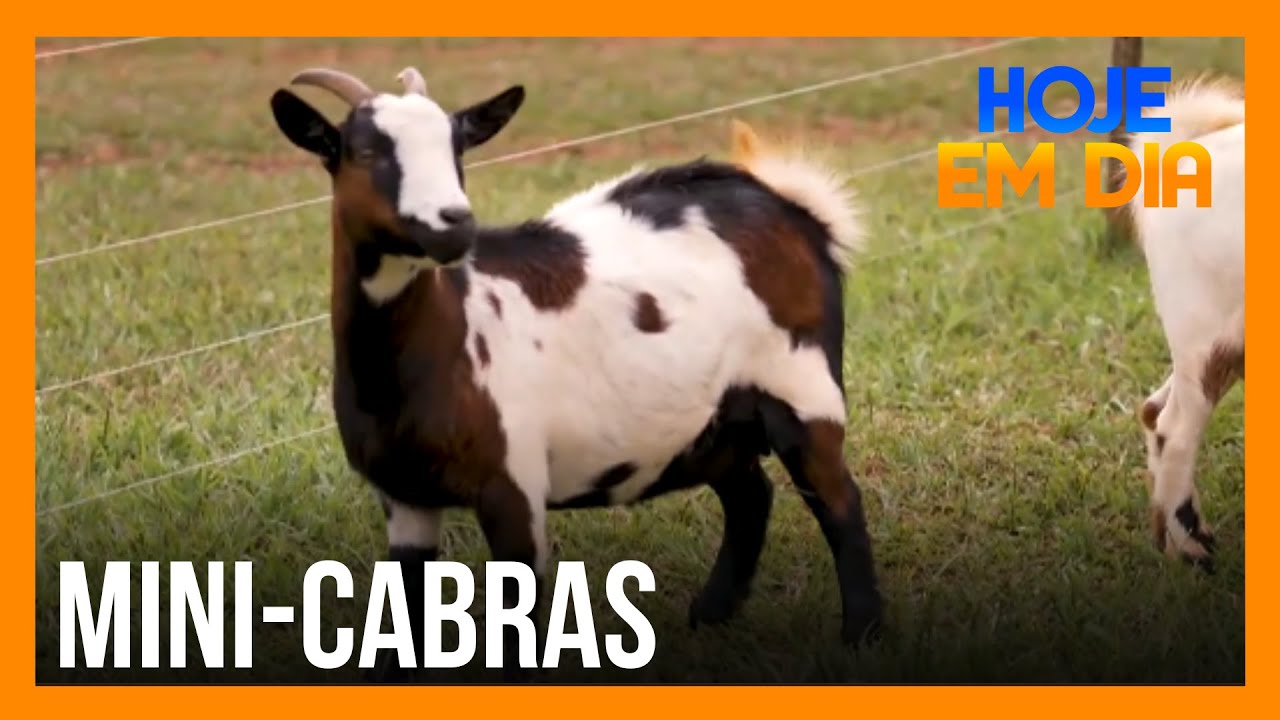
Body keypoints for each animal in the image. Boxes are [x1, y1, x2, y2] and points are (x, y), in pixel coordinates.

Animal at [269, 66, 882, 677]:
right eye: (366, 150)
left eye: (457, 147)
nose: (454, 224)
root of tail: (795, 209)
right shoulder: (403, 495)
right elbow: (405, 610)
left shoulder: (512, 481)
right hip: (714, 425)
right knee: (751, 495)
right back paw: (709, 617)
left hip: (803, 389)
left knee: (838, 503)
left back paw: (861, 636)